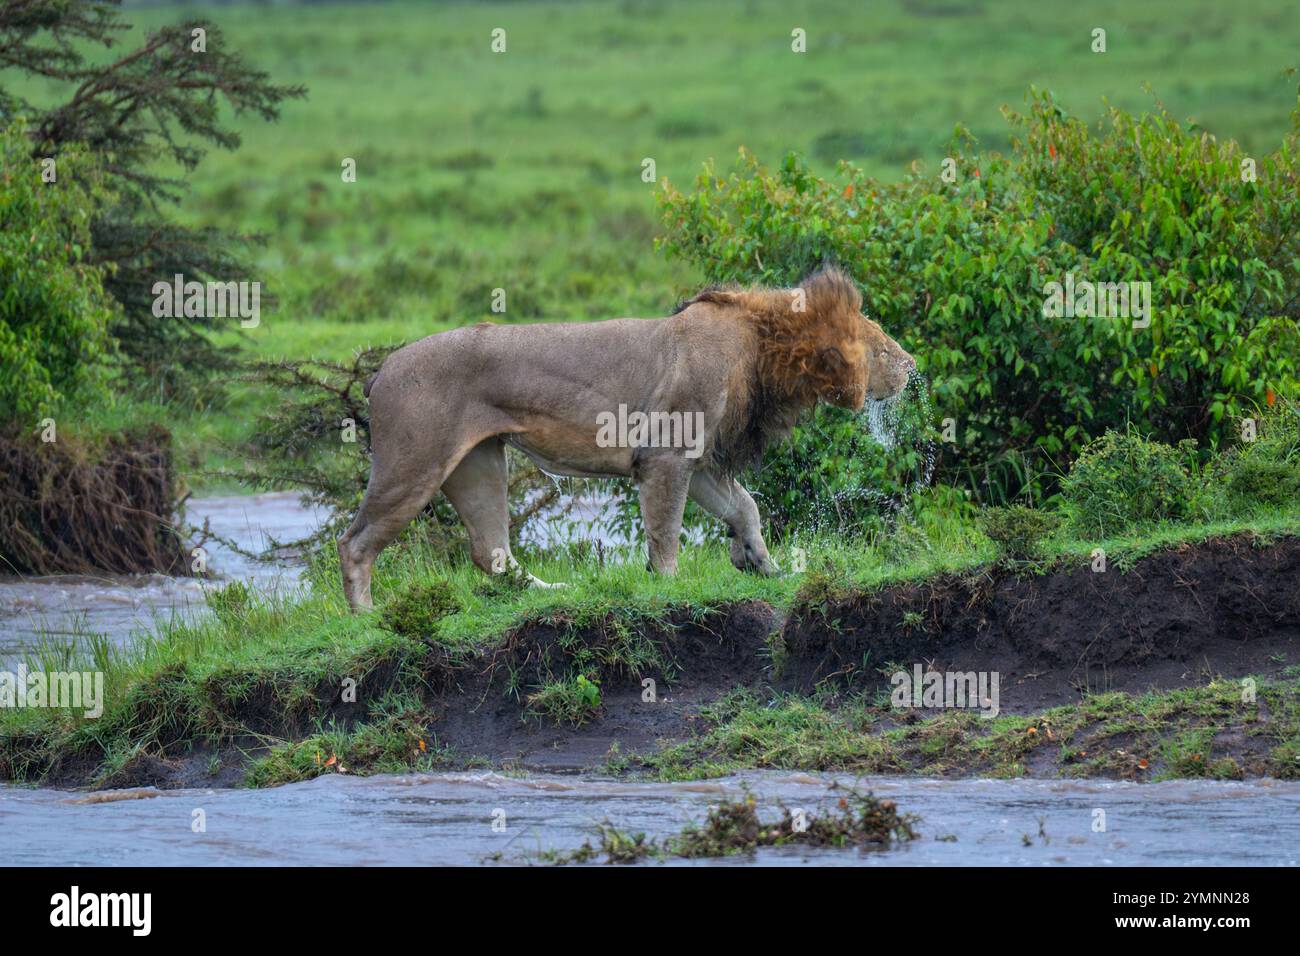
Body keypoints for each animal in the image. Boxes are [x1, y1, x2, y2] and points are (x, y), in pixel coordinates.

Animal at [339, 266, 915, 609]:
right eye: (881, 347)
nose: (913, 366)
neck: (762, 345)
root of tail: (381, 371)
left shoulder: (698, 462)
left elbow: (746, 508)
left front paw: (762, 564)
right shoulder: (667, 457)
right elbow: (666, 533)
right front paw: (669, 585)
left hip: (477, 463)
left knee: (491, 552)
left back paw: (551, 592)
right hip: (414, 463)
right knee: (354, 542)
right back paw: (366, 614)